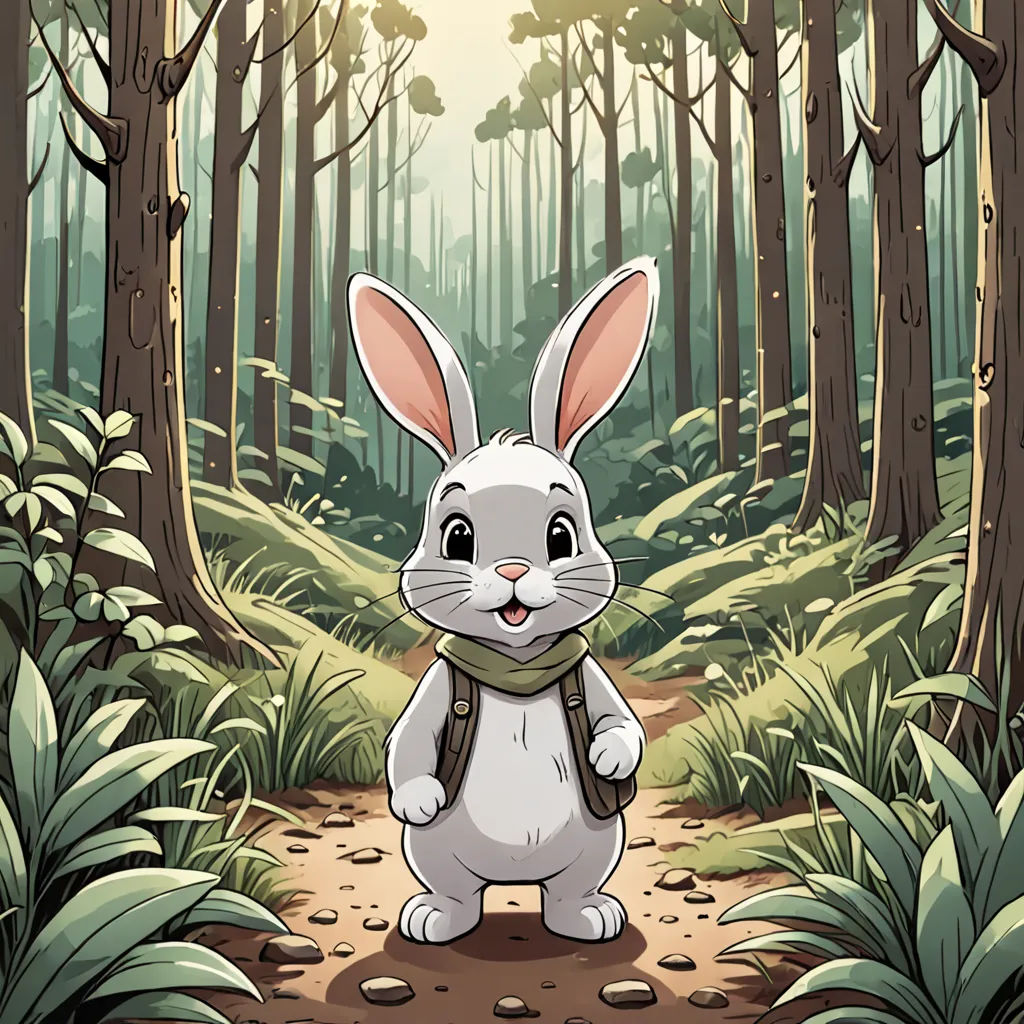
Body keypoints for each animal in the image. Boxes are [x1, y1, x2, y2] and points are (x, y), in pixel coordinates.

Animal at [347, 257, 658, 945]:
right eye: (457, 536)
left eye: (561, 535)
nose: (513, 570)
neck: (516, 664)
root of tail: (514, 884)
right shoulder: (438, 688)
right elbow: (407, 743)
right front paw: (418, 796)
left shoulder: (590, 679)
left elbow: (624, 725)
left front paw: (606, 754)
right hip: (433, 854)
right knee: (457, 894)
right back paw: (436, 919)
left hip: (597, 844)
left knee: (568, 893)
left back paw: (589, 917)